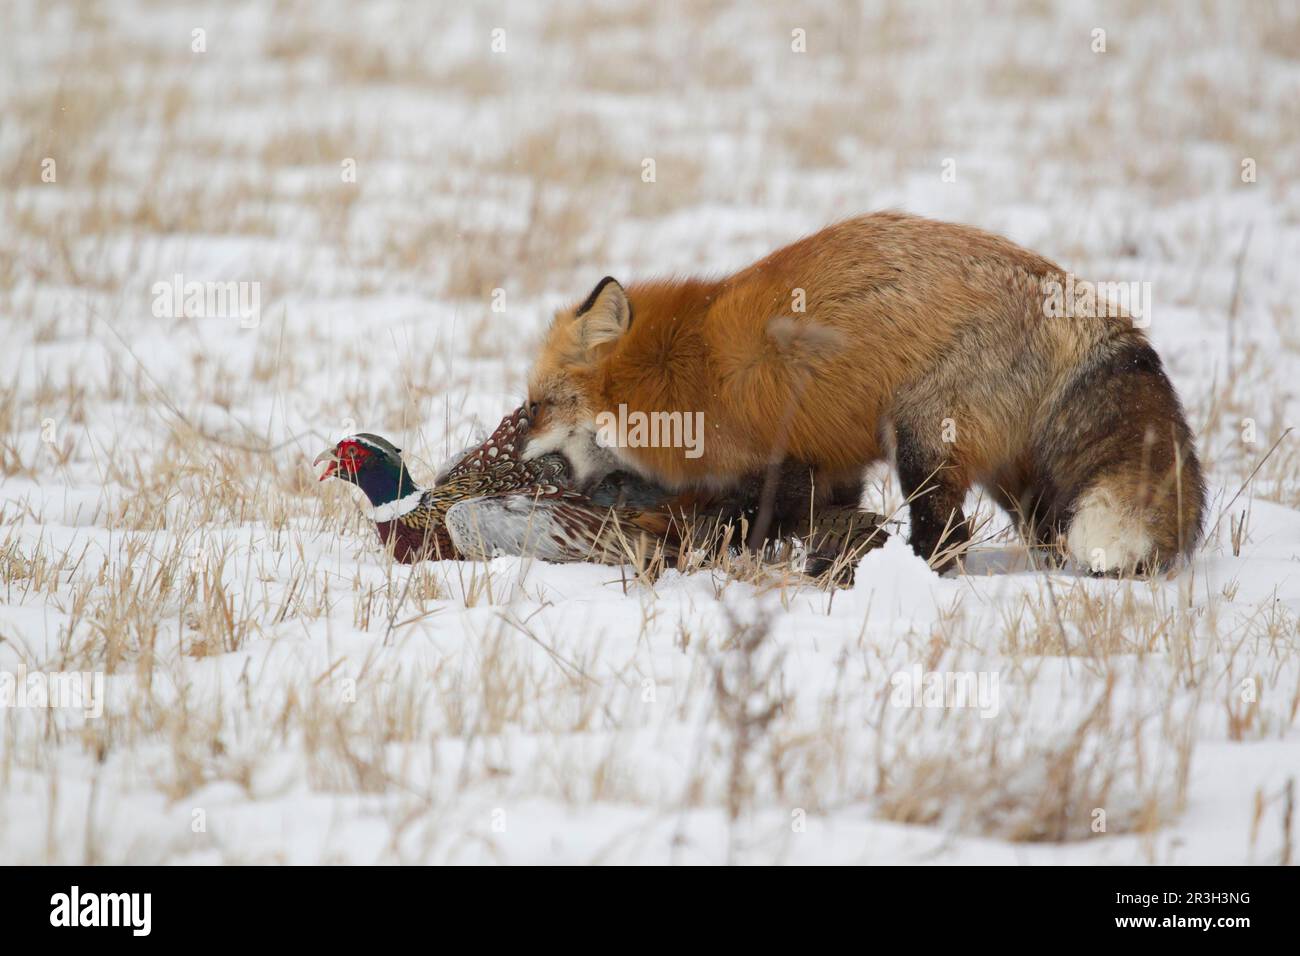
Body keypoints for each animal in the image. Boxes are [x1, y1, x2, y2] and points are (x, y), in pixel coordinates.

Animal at [522, 212, 1205, 574]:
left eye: (533, 408)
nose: (518, 460)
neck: (674, 368)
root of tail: (1064, 289)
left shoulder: (775, 460)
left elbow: (738, 520)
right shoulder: (831, 458)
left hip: (922, 440)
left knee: (947, 537)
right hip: (1015, 474)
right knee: (1039, 532)